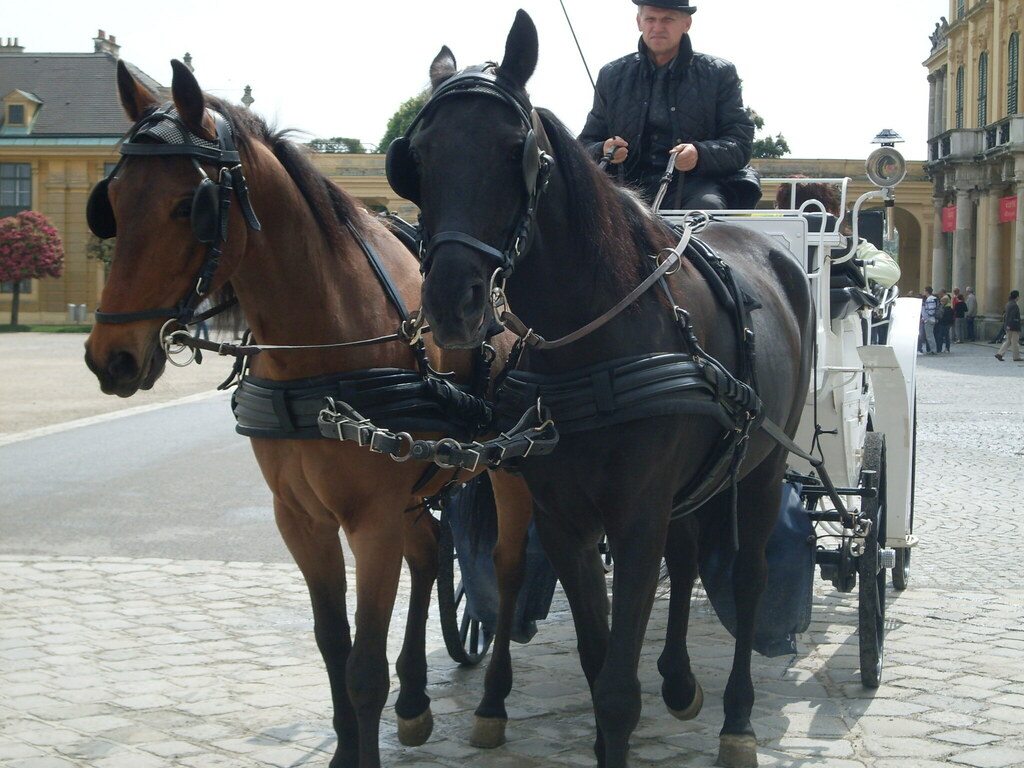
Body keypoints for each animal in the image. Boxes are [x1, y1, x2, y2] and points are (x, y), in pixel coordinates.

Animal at [83, 59, 535, 768]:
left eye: (190, 207)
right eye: (114, 202)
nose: (111, 357)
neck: (319, 342)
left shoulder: (371, 522)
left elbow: (363, 668)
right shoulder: (302, 520)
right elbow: (332, 646)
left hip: (509, 473)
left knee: (507, 566)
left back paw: (491, 704)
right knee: (432, 555)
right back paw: (415, 701)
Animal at [392, 11, 813, 768]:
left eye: (516, 151)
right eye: (418, 156)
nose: (451, 304)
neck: (592, 340)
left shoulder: (636, 517)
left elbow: (617, 687)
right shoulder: (566, 520)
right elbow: (597, 663)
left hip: (763, 471)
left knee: (747, 576)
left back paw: (736, 719)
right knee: (688, 554)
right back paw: (679, 679)